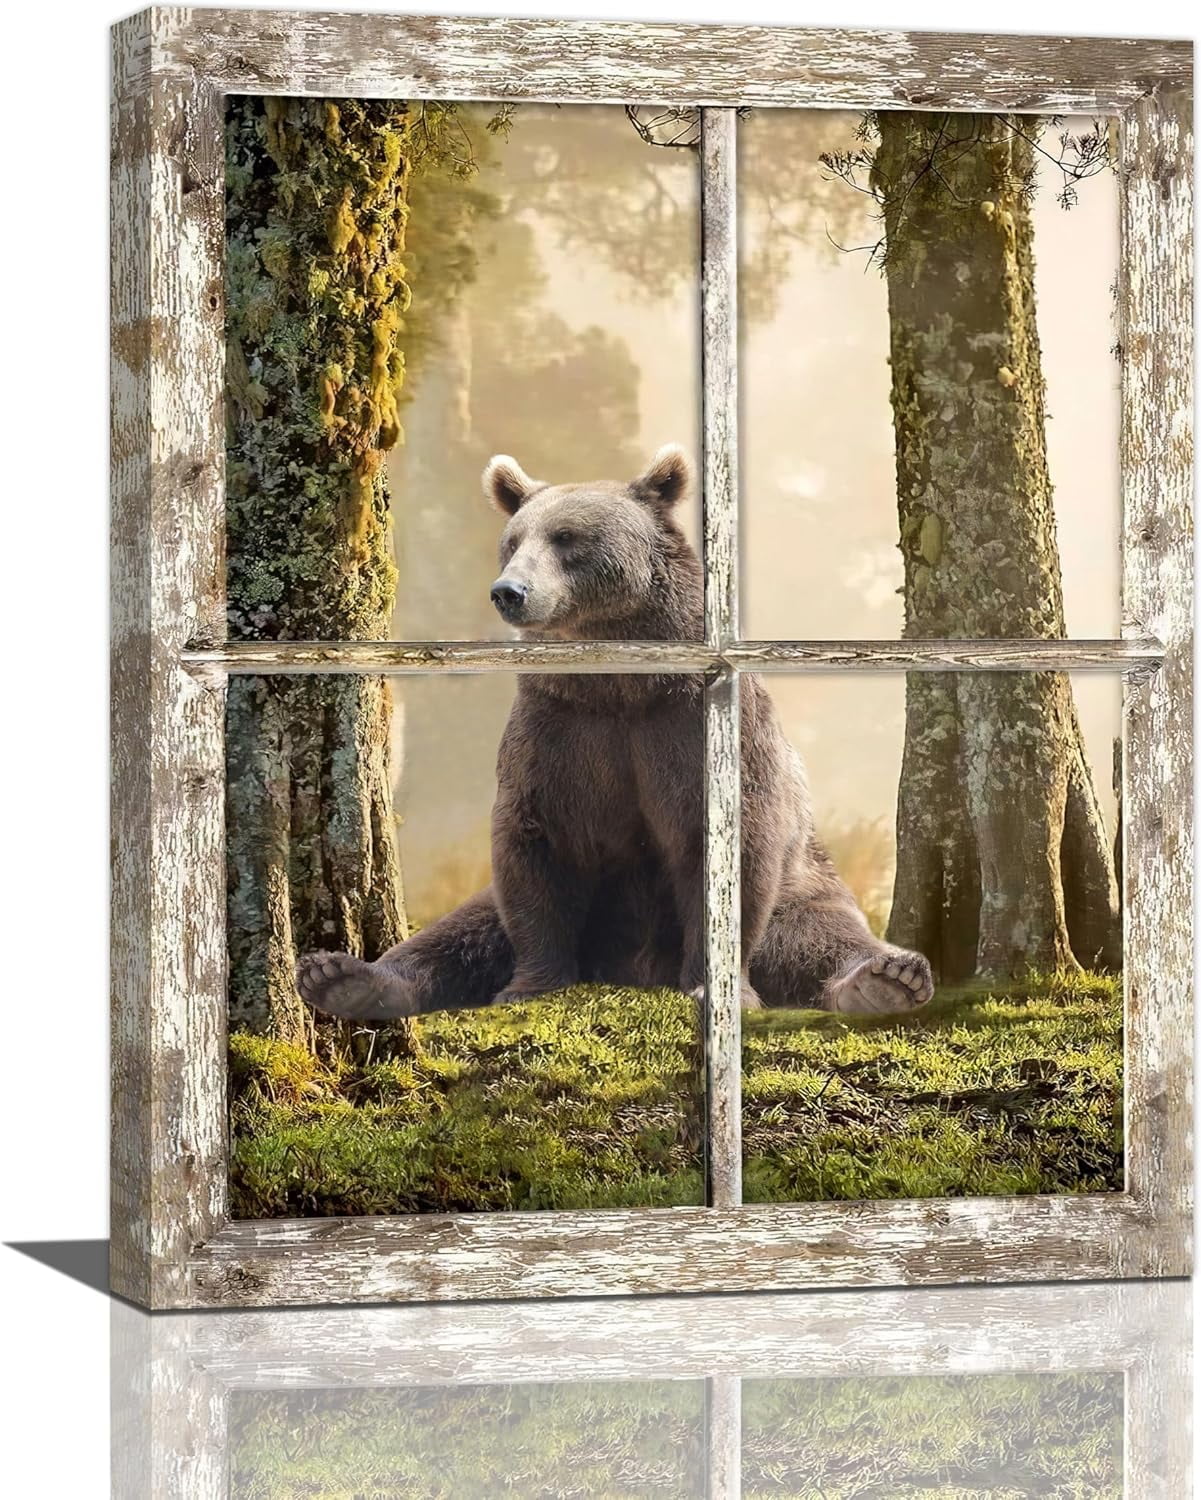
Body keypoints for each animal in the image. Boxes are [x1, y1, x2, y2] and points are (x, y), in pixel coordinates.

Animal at [296, 446, 934, 1021]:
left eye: (567, 538)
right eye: (513, 541)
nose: (509, 591)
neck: (620, 685)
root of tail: (632, 969)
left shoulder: (686, 727)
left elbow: (734, 845)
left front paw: (711, 987)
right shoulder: (560, 729)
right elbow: (533, 845)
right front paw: (531, 984)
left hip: (807, 884)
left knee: (824, 936)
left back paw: (886, 978)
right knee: (462, 930)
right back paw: (344, 976)